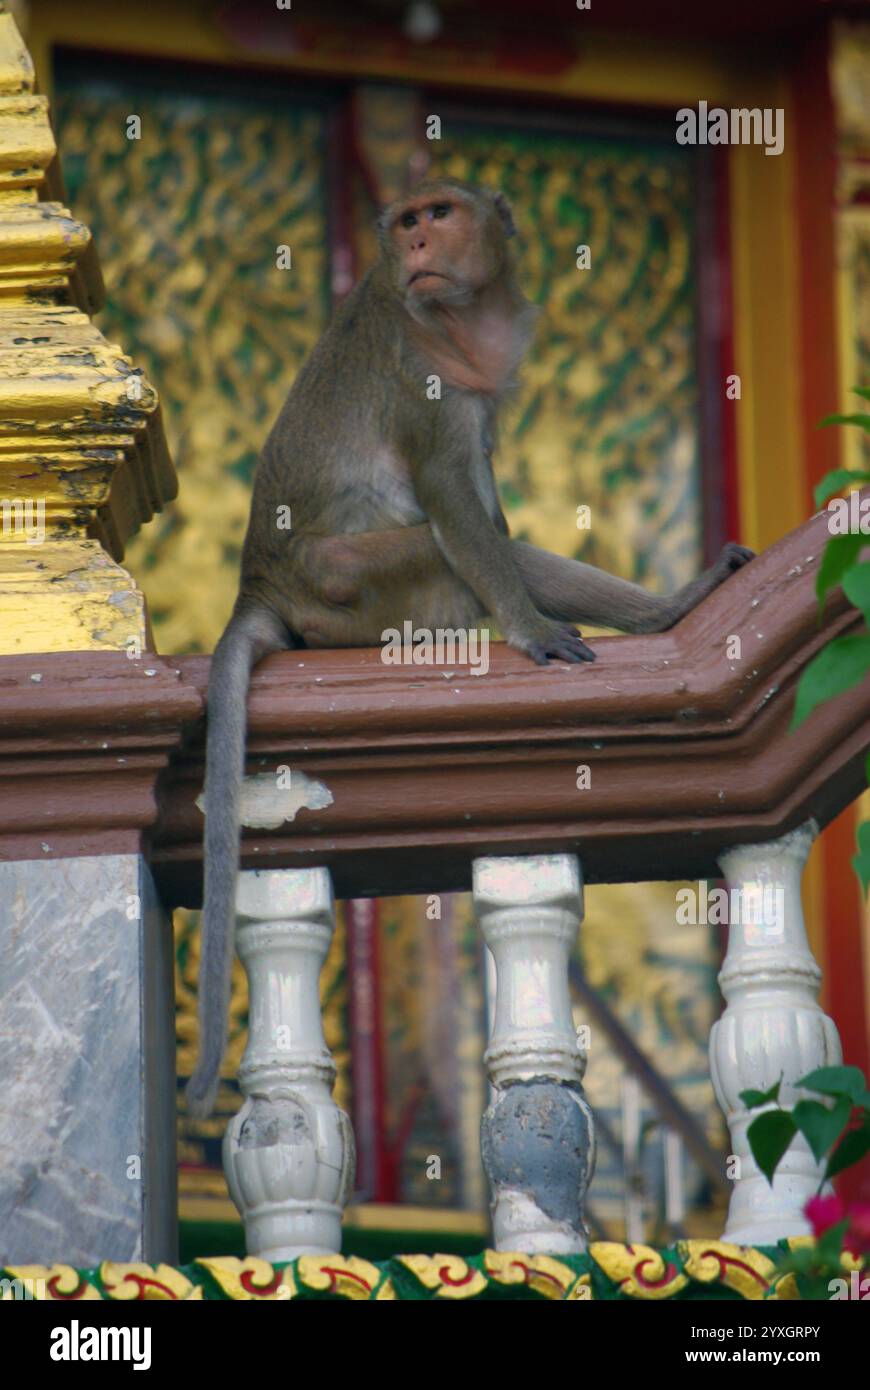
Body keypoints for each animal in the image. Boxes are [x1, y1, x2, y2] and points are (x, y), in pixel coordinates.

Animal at [185, 178, 753, 1116]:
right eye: (408, 221)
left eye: (439, 213)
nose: (418, 245)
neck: (455, 318)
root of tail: (259, 587)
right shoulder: (424, 376)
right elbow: (457, 499)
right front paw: (530, 627)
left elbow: (486, 500)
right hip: (357, 584)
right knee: (458, 551)